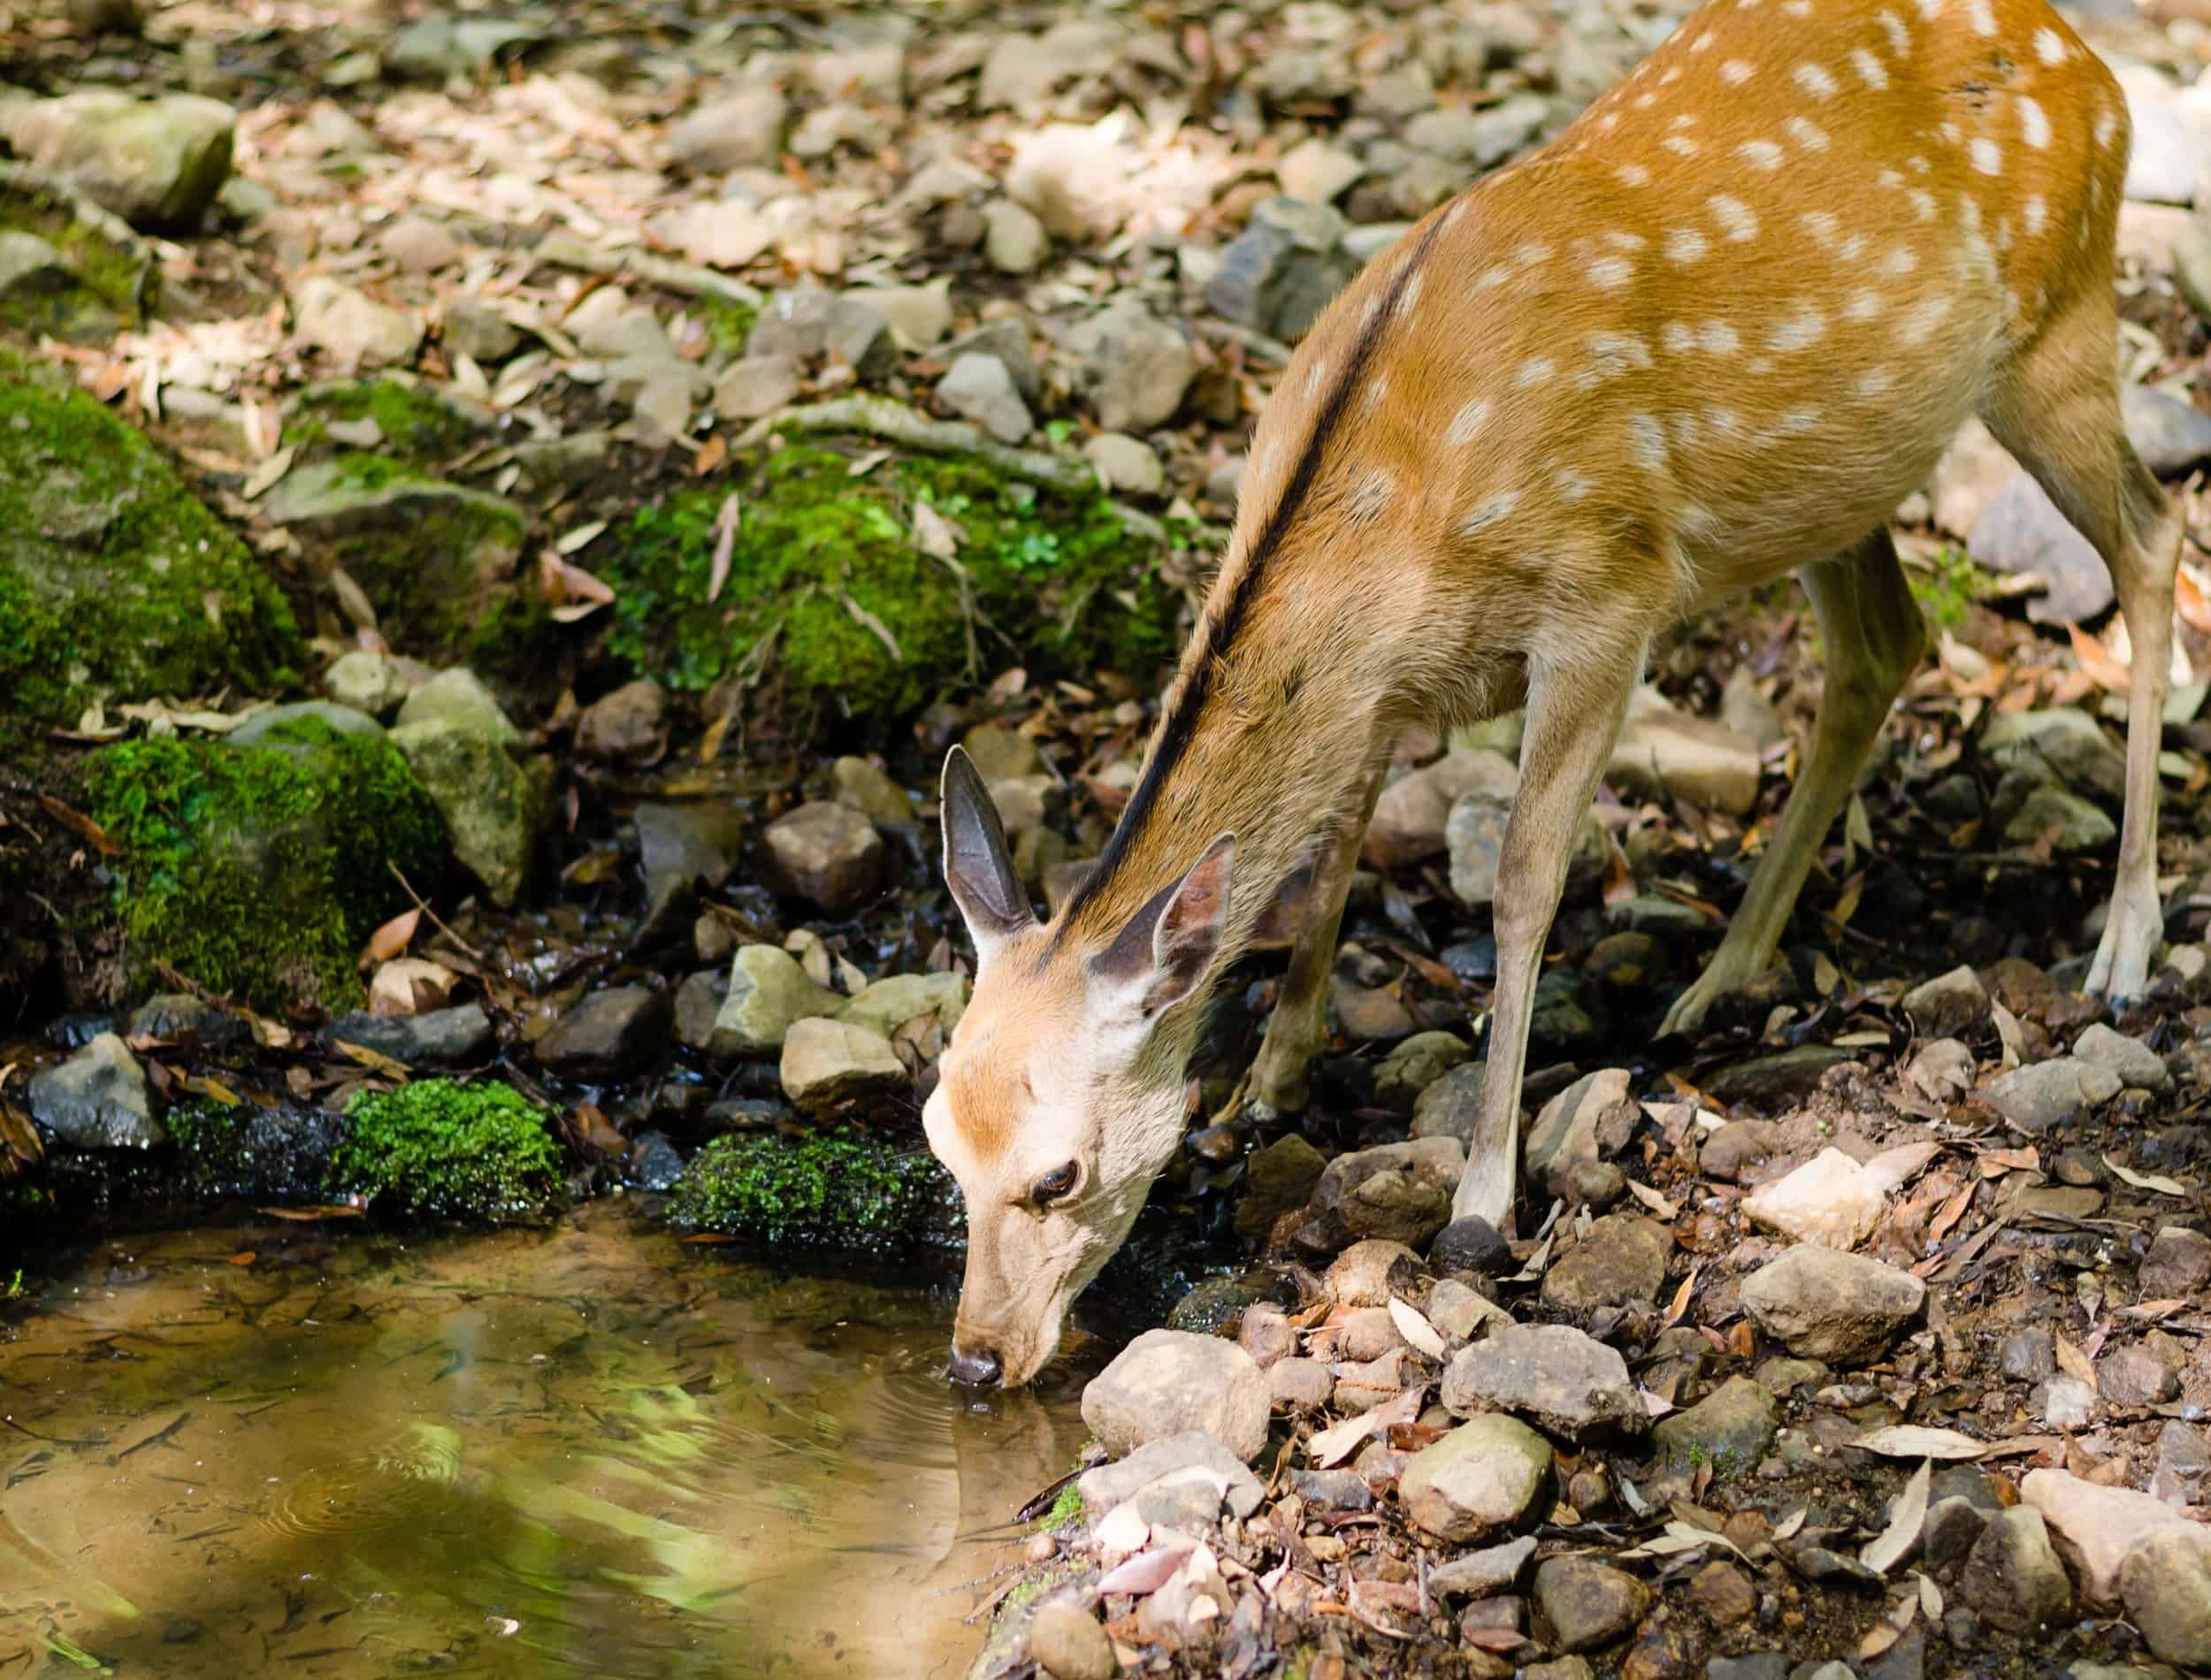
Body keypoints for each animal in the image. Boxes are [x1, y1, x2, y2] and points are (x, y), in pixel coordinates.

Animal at [924, 0, 2178, 1387]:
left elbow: (1523, 883)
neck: (1400, 520)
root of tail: (2094, 66)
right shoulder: (1382, 687)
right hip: (1838, 468)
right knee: (1884, 642)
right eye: (936, 1144)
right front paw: (1269, 1079)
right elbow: (1328, 853)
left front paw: (1482, 1199)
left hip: (2061, 319)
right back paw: (1726, 974)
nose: (975, 1358)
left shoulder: (1604, 593)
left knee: (2150, 538)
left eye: (1057, 1174)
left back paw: (2125, 943)